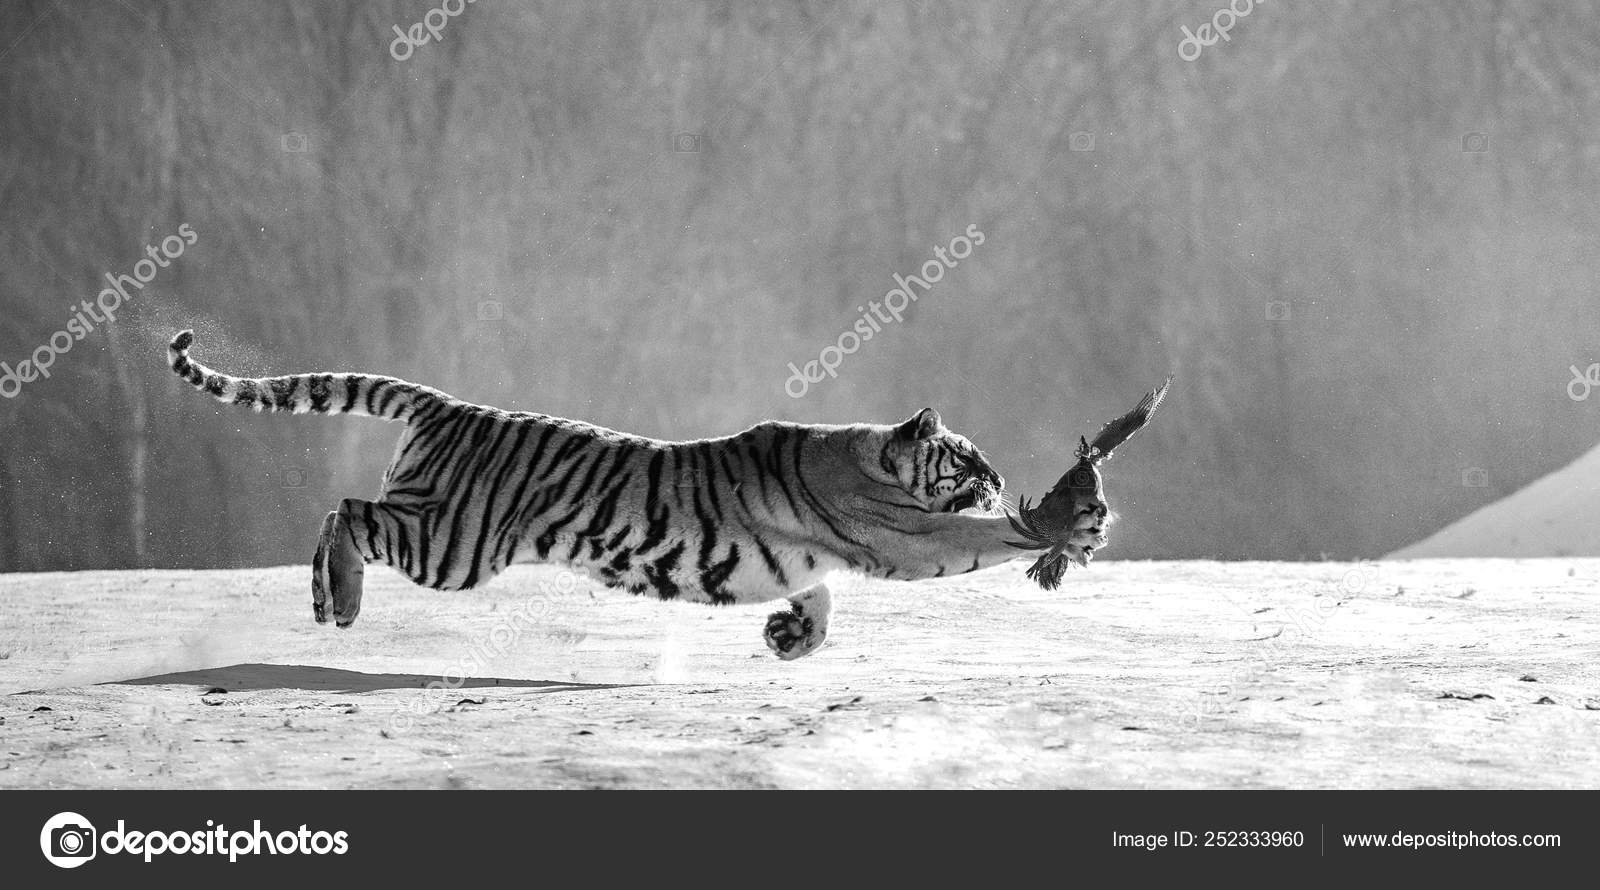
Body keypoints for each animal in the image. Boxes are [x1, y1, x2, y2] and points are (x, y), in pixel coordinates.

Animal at [165, 329, 1110, 659]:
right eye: (969, 458)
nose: (998, 476)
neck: (872, 453)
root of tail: (448, 404)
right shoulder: (902, 537)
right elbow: (980, 540)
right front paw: (1061, 523)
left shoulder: (819, 560)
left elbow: (821, 597)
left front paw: (791, 638)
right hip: (453, 544)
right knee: (346, 512)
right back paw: (339, 601)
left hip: (442, 531)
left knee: (348, 509)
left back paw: (329, 600)